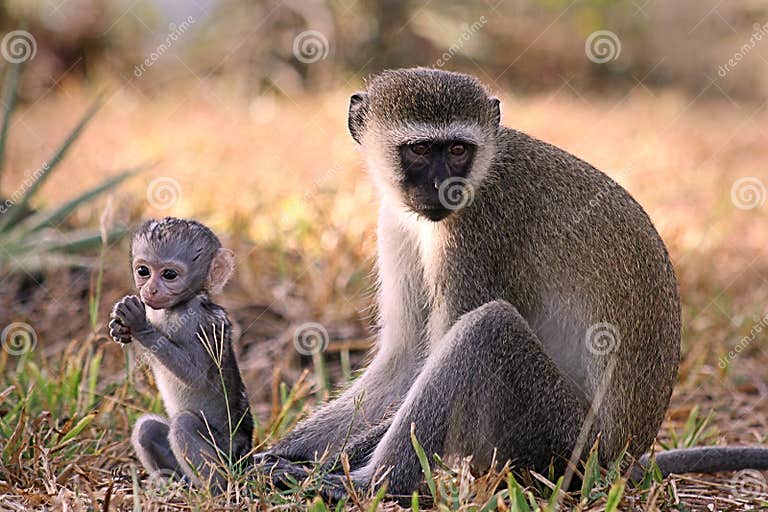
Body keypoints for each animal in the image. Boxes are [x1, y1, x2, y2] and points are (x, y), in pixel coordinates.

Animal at [109, 217, 253, 491]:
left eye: (169, 274)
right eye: (143, 271)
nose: (151, 290)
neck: (176, 309)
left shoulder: (197, 322)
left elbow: (195, 376)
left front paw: (139, 325)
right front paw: (119, 328)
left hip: (228, 455)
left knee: (184, 424)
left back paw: (217, 491)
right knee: (147, 428)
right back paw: (171, 485)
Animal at [256, 68, 768, 498]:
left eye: (457, 150)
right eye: (420, 149)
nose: (445, 187)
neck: (484, 171)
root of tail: (622, 459)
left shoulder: (478, 228)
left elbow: (437, 349)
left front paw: (325, 467)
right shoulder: (396, 221)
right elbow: (404, 357)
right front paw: (269, 453)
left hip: (563, 438)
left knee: (487, 328)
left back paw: (370, 485)